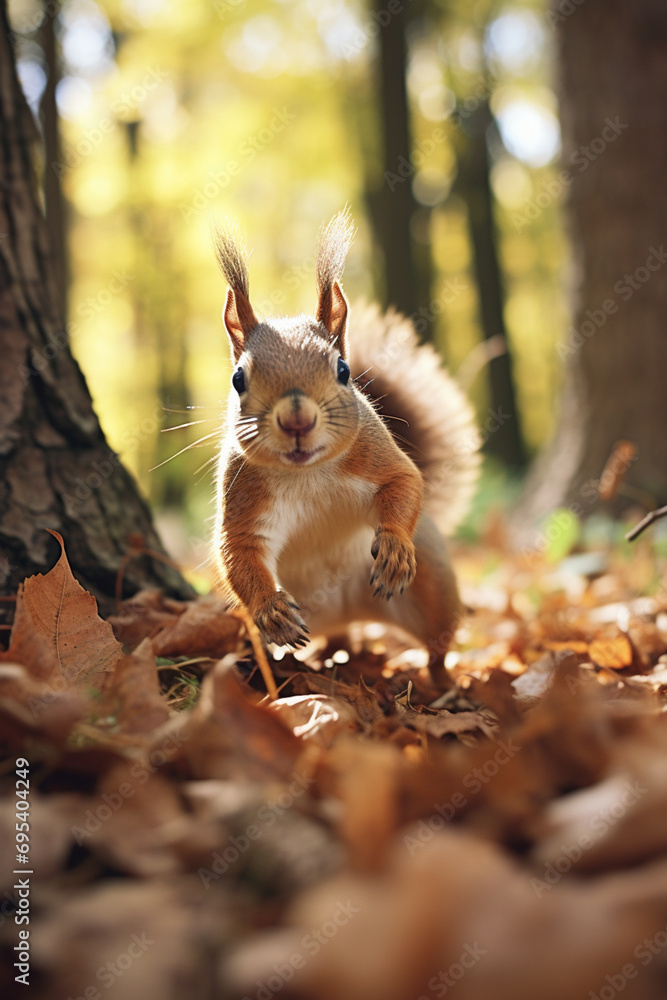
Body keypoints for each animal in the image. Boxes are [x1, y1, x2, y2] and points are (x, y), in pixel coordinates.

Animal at [213, 211, 480, 688]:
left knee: (437, 643)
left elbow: (406, 482)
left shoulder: (376, 455)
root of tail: (347, 615)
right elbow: (236, 551)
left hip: (433, 584)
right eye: (238, 379)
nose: (297, 421)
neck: (306, 472)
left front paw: (394, 547)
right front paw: (271, 609)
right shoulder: (242, 493)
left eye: (343, 370)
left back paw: (445, 685)